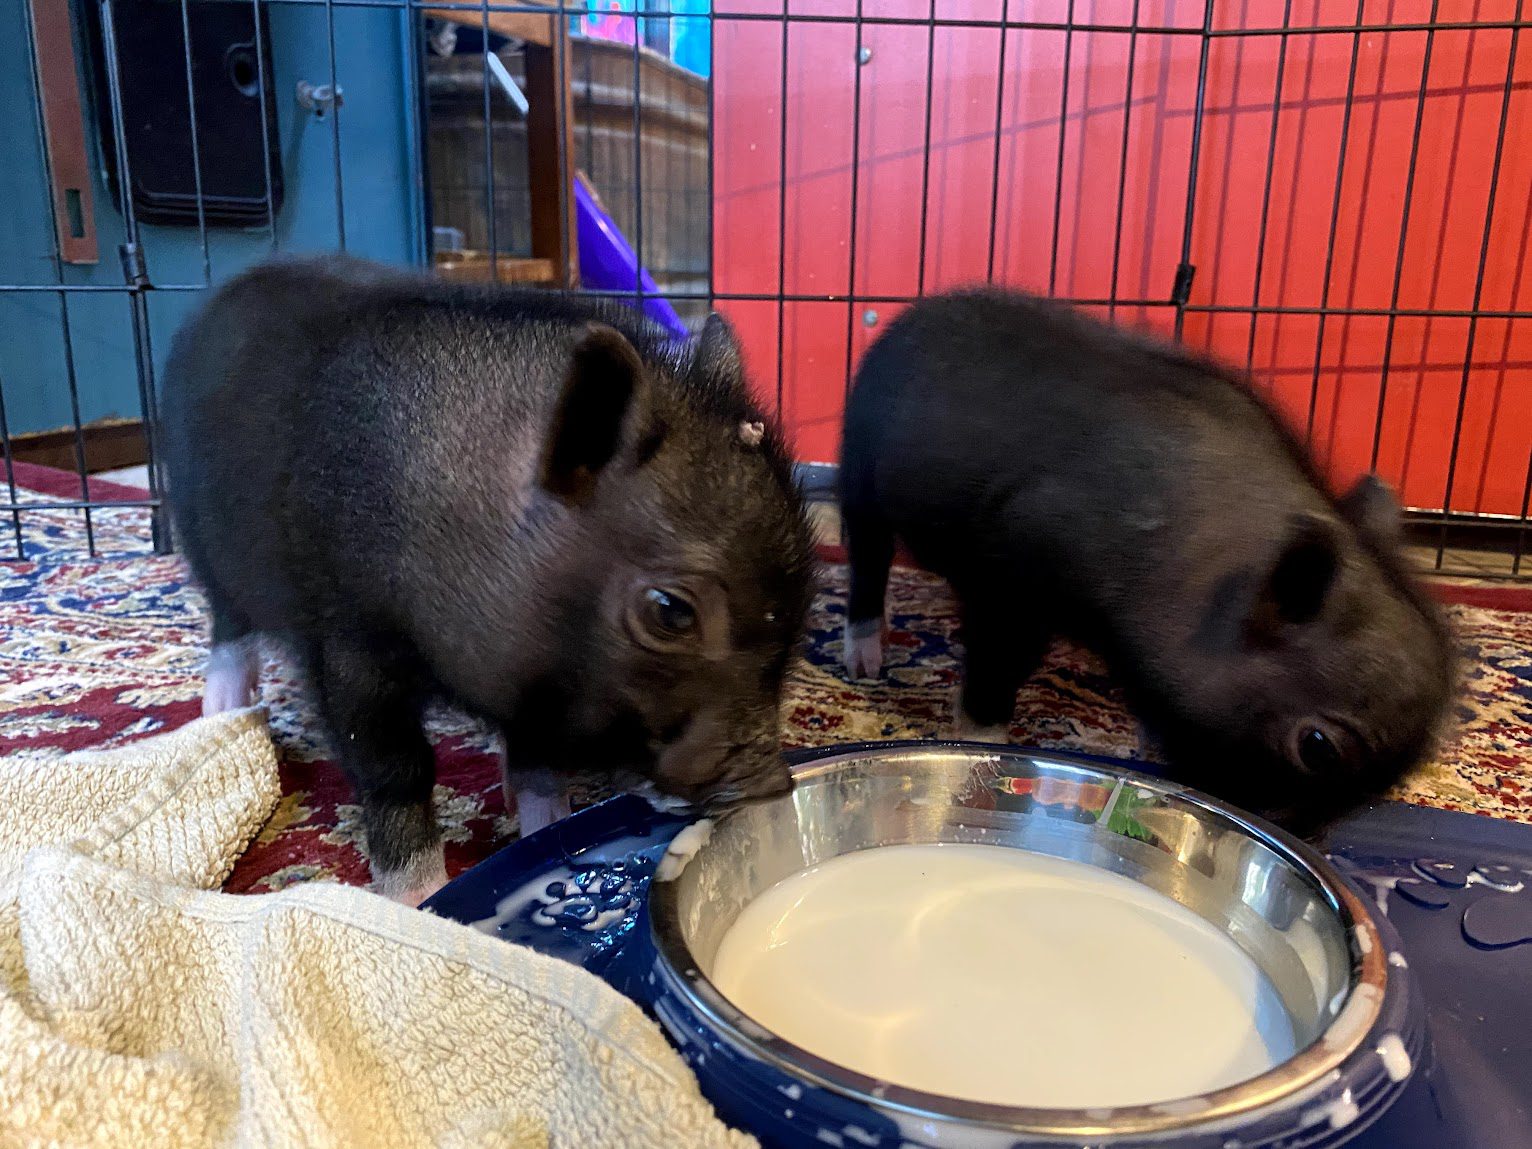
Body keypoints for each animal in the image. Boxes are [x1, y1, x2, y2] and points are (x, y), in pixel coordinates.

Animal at [161, 255, 815, 904]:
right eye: (671, 610)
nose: (773, 784)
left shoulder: (541, 673)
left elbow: (539, 764)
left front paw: (544, 830)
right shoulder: (347, 639)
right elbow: (393, 766)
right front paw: (418, 898)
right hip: (201, 537)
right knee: (229, 628)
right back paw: (221, 713)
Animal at [839, 288, 1454, 831]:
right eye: (1318, 748)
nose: (1292, 832)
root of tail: (913, 314)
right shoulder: (1008, 582)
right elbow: (995, 669)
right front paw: (981, 743)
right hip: (859, 469)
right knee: (868, 557)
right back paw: (865, 662)